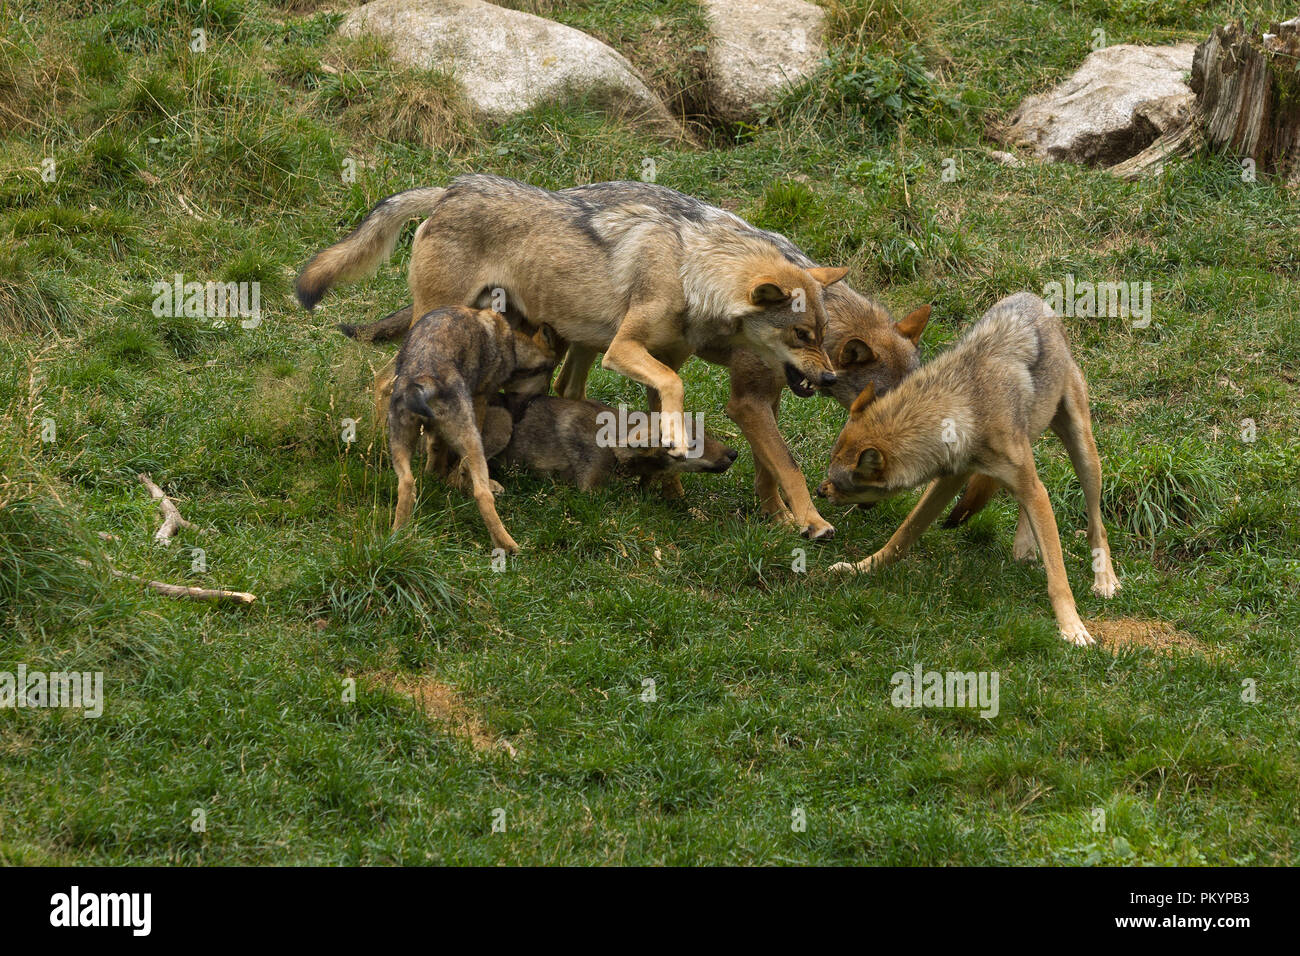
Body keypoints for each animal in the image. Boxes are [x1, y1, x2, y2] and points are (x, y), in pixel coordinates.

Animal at [387, 306, 560, 553]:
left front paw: (433, 473)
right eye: (546, 379)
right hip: (471, 440)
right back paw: (509, 545)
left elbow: (435, 448)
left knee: (407, 485)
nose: (523, 411)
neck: (512, 346)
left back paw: (397, 535)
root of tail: (424, 379)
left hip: (399, 442)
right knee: (482, 495)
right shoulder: (480, 397)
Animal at [816, 292, 1120, 646]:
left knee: (1096, 524)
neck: (969, 407)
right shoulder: (949, 479)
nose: (819, 491)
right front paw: (861, 568)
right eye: (830, 475)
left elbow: (1057, 577)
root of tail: (1033, 297)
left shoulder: (1026, 486)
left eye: (841, 484)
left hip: (1084, 454)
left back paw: (1105, 581)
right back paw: (1025, 548)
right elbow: (903, 534)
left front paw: (1072, 628)